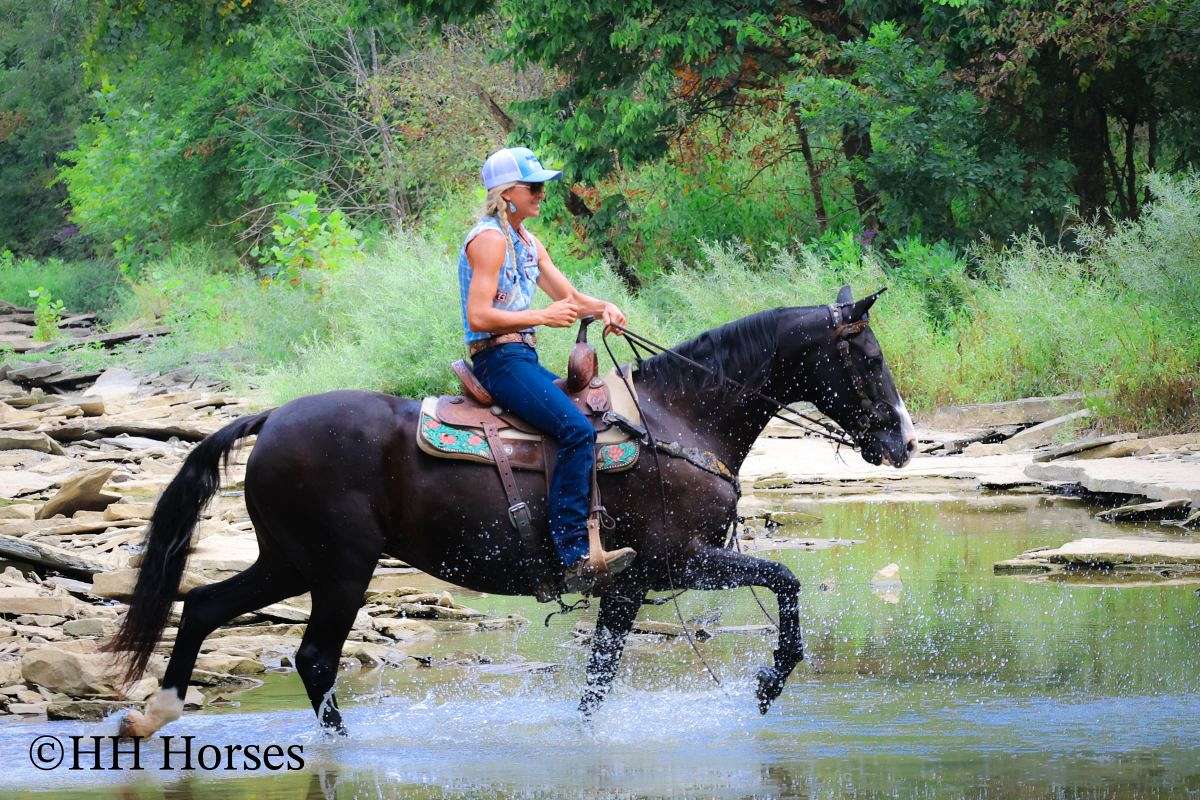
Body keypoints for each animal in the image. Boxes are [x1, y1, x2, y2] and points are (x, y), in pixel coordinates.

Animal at [107, 285, 916, 737]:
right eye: (872, 360)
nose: (904, 440)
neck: (680, 419)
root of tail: (272, 417)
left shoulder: (626, 585)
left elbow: (599, 679)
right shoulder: (680, 561)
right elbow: (786, 580)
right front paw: (770, 682)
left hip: (289, 561)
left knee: (204, 606)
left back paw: (156, 713)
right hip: (340, 570)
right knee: (312, 658)